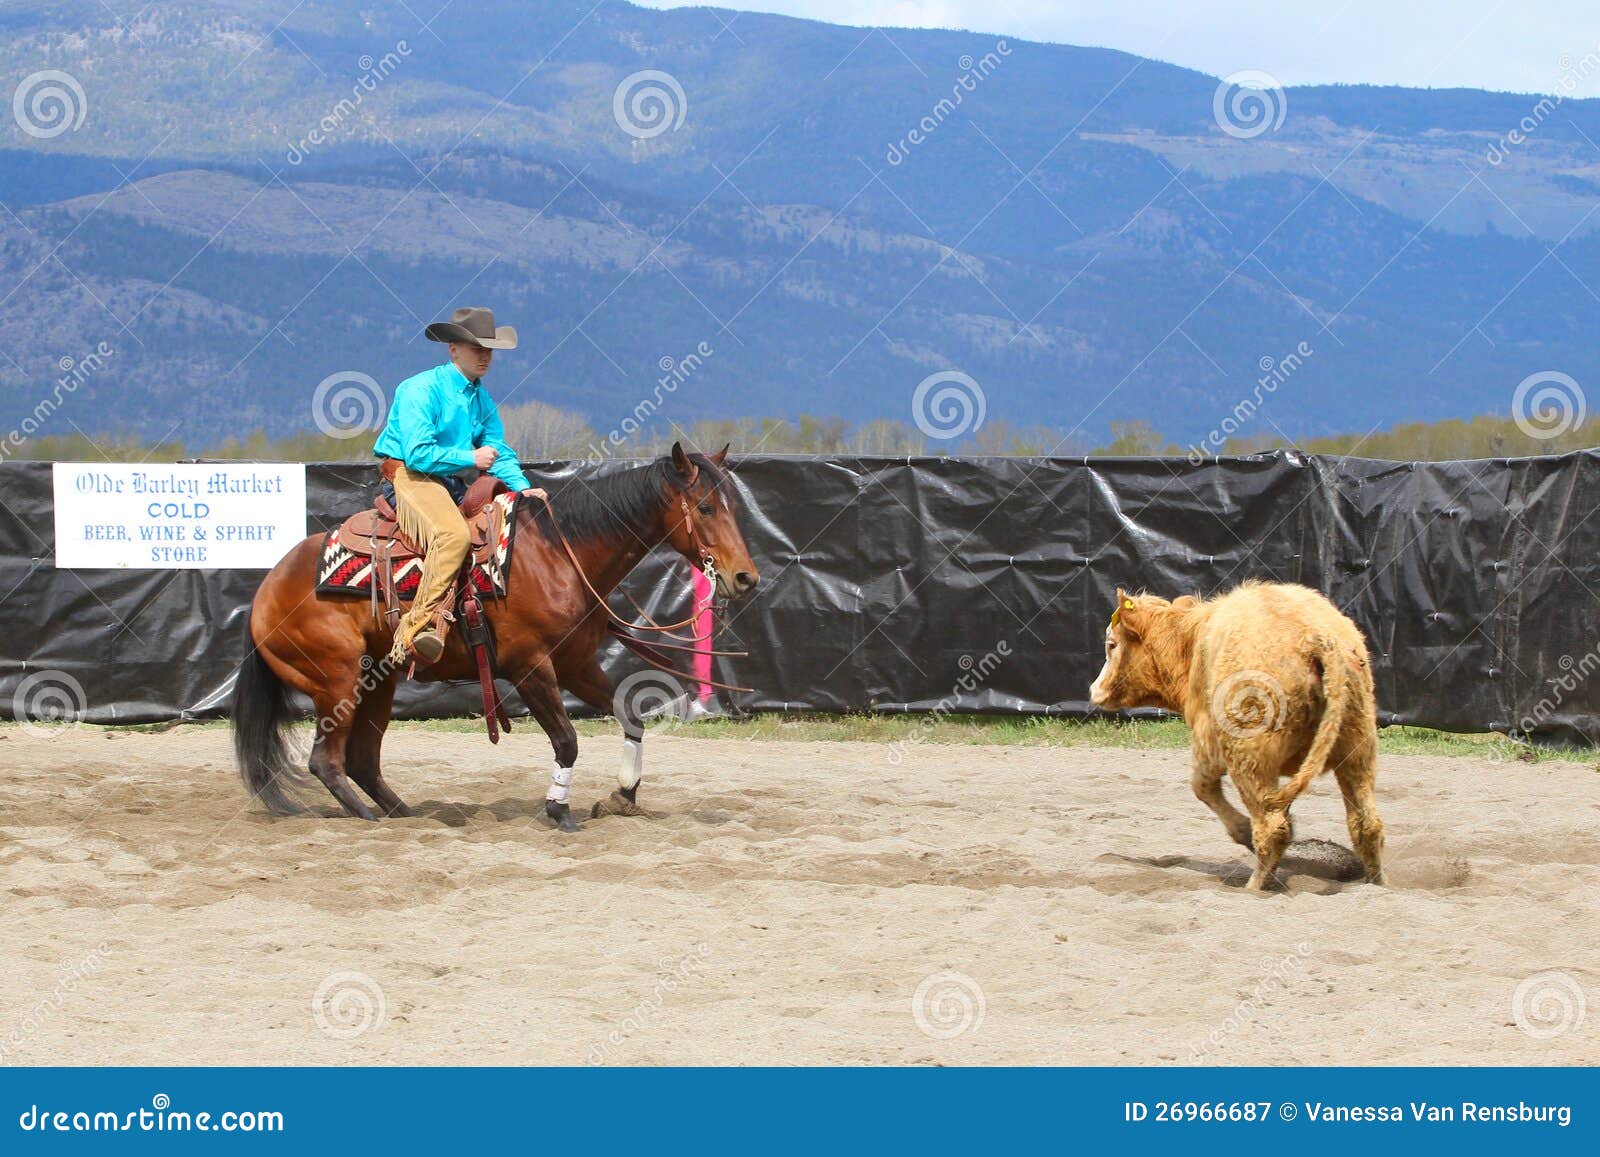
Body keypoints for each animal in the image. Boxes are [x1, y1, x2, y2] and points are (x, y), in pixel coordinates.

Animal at [231, 443, 759, 831]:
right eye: (706, 507)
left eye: (735, 506)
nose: (745, 578)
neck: (559, 554)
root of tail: (266, 588)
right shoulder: (530, 667)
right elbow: (567, 739)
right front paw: (559, 809)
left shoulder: (576, 665)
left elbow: (630, 717)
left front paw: (621, 795)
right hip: (338, 680)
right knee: (327, 760)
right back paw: (367, 819)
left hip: (378, 680)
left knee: (362, 759)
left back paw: (405, 815)